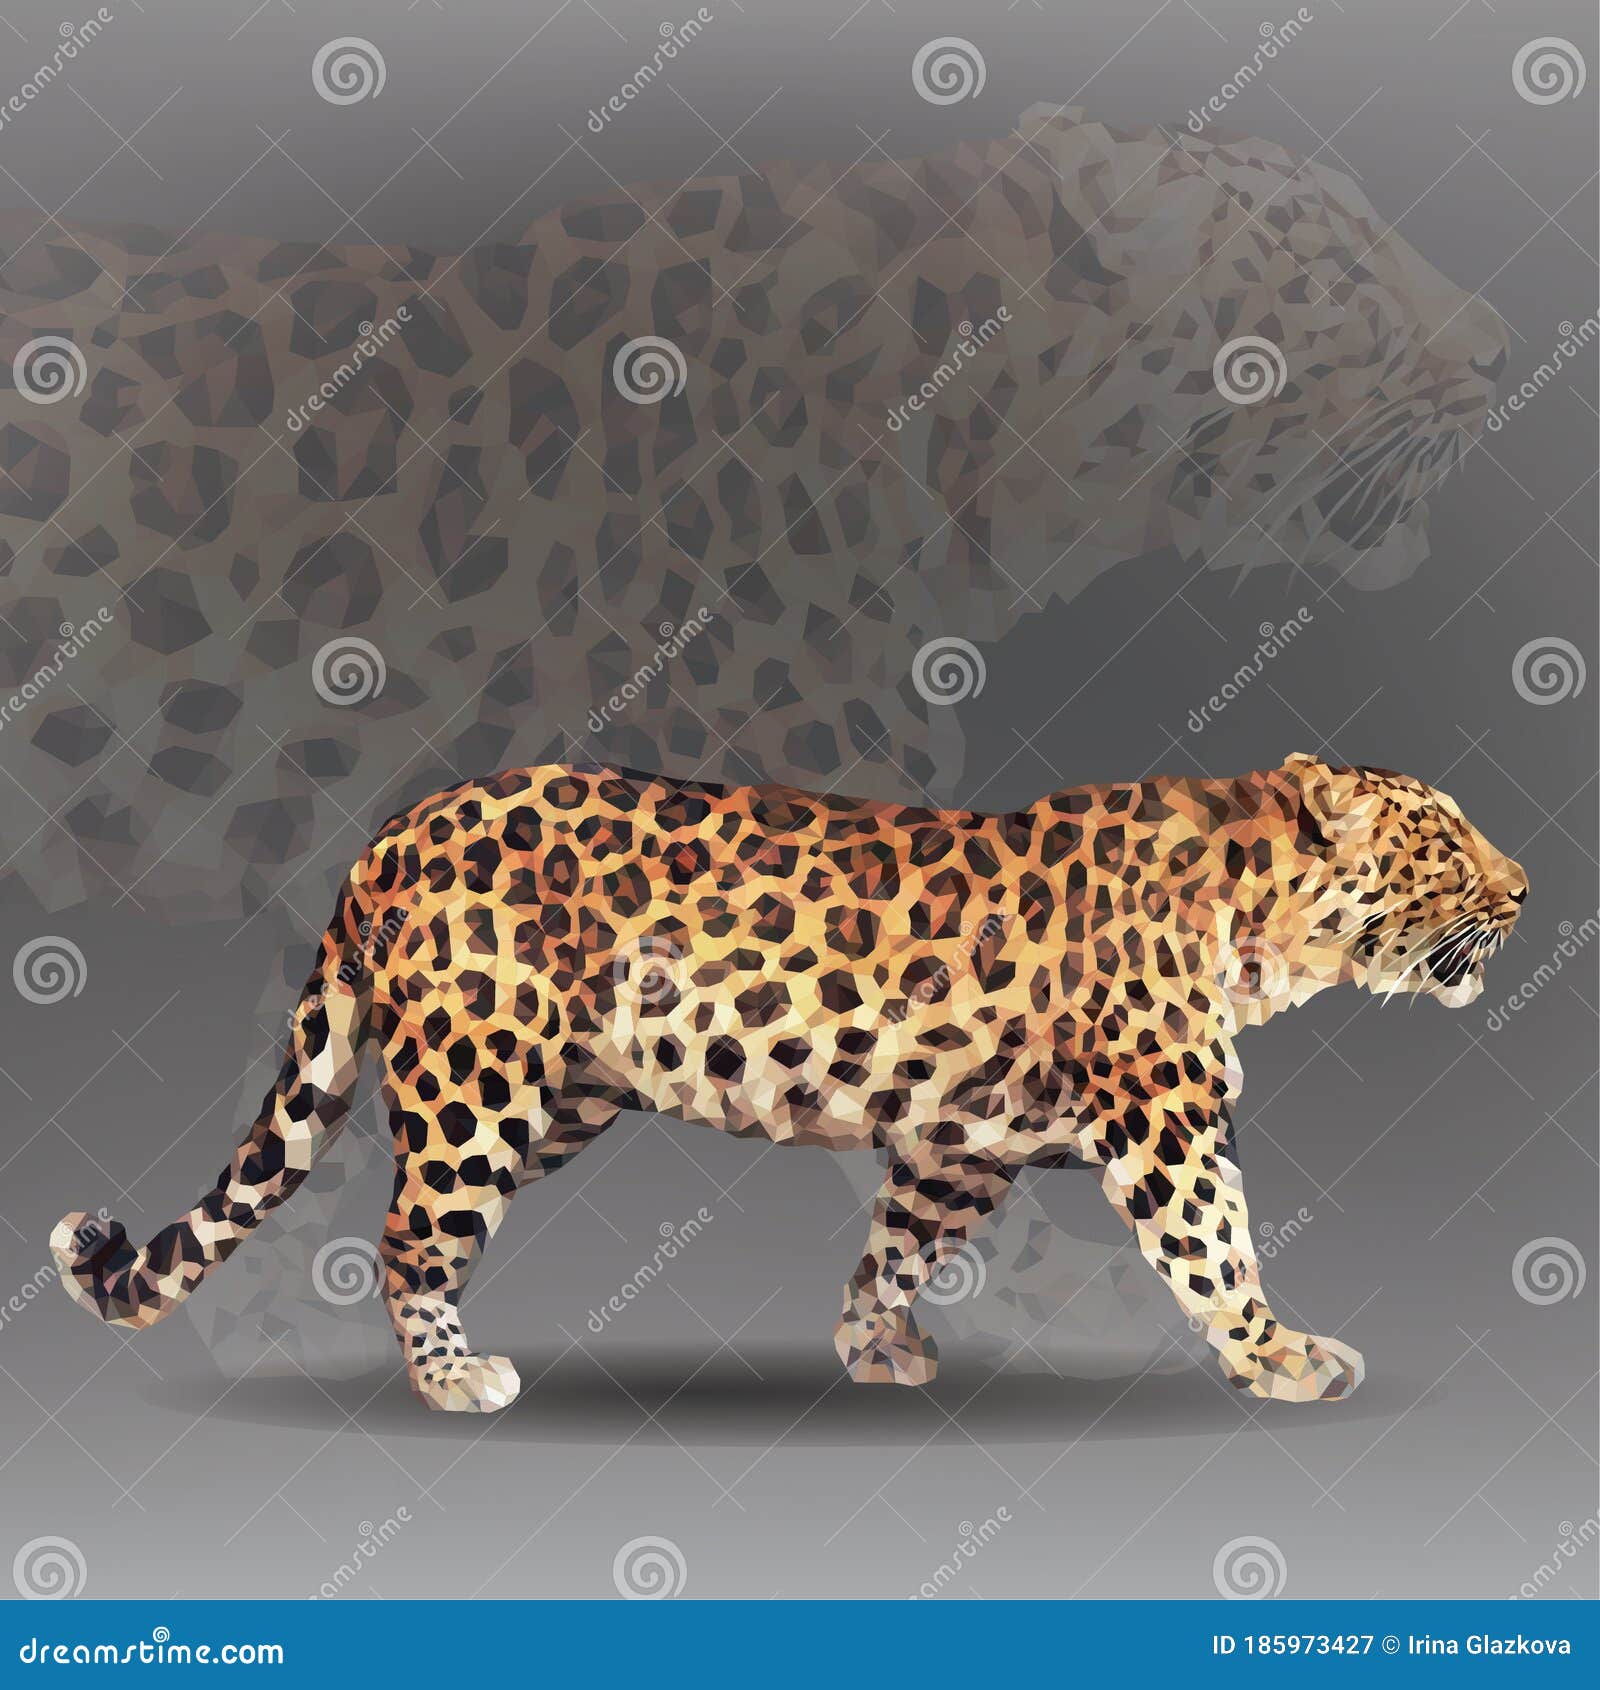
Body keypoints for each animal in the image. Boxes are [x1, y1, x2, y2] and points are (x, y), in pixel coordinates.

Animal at [52, 751, 1527, 1413]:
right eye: (1446, 841)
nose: (1524, 887)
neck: (1257, 920)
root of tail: (390, 833)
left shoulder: (958, 1144)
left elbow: (898, 1241)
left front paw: (877, 1346)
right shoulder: (1162, 1124)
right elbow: (1218, 1245)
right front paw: (1281, 1354)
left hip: (557, 1096)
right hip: (479, 1087)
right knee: (411, 1230)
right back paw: (455, 1378)